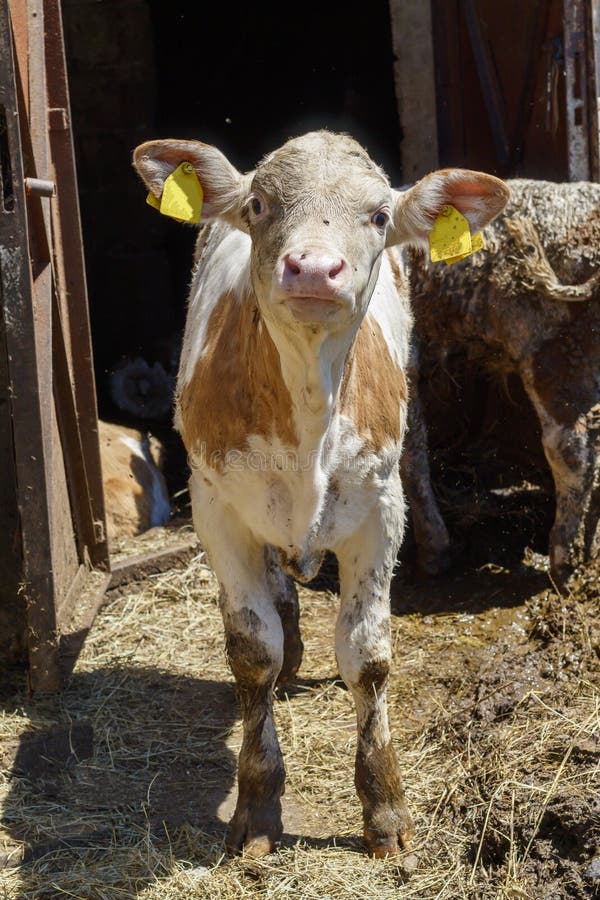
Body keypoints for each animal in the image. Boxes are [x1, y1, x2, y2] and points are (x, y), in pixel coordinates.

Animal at [133, 131, 508, 857]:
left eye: (380, 216)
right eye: (258, 205)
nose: (312, 269)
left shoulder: (380, 510)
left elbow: (367, 654)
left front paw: (385, 810)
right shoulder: (216, 506)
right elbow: (253, 651)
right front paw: (257, 806)